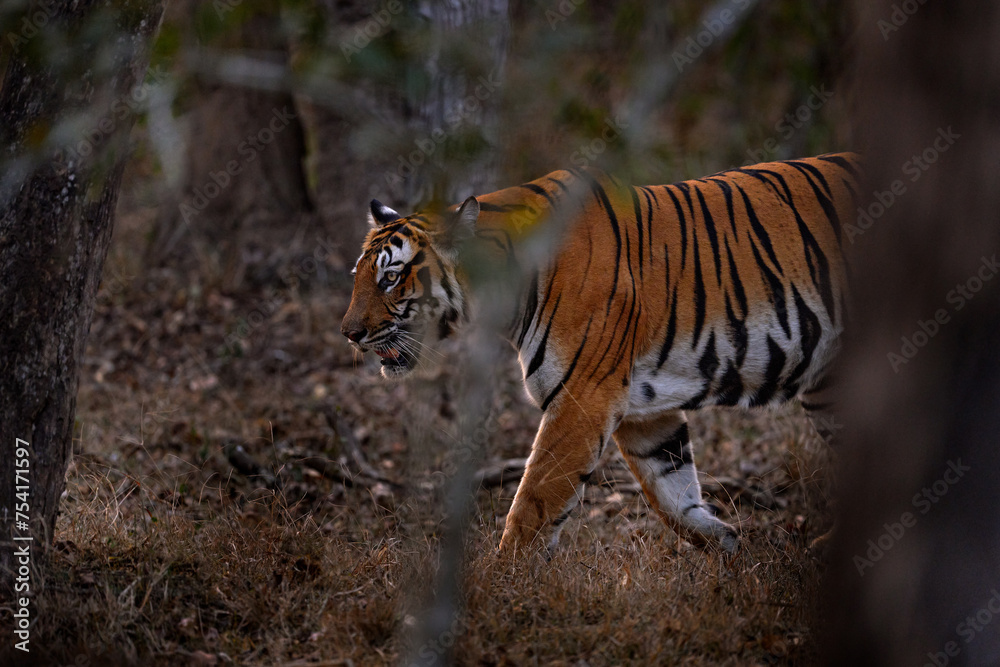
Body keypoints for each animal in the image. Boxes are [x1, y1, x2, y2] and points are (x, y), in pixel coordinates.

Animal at [341, 153, 860, 554]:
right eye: (358, 276)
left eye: (391, 278)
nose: (349, 333)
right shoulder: (646, 410)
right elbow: (671, 493)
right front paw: (727, 544)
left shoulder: (583, 397)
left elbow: (535, 500)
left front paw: (500, 586)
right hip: (830, 385)